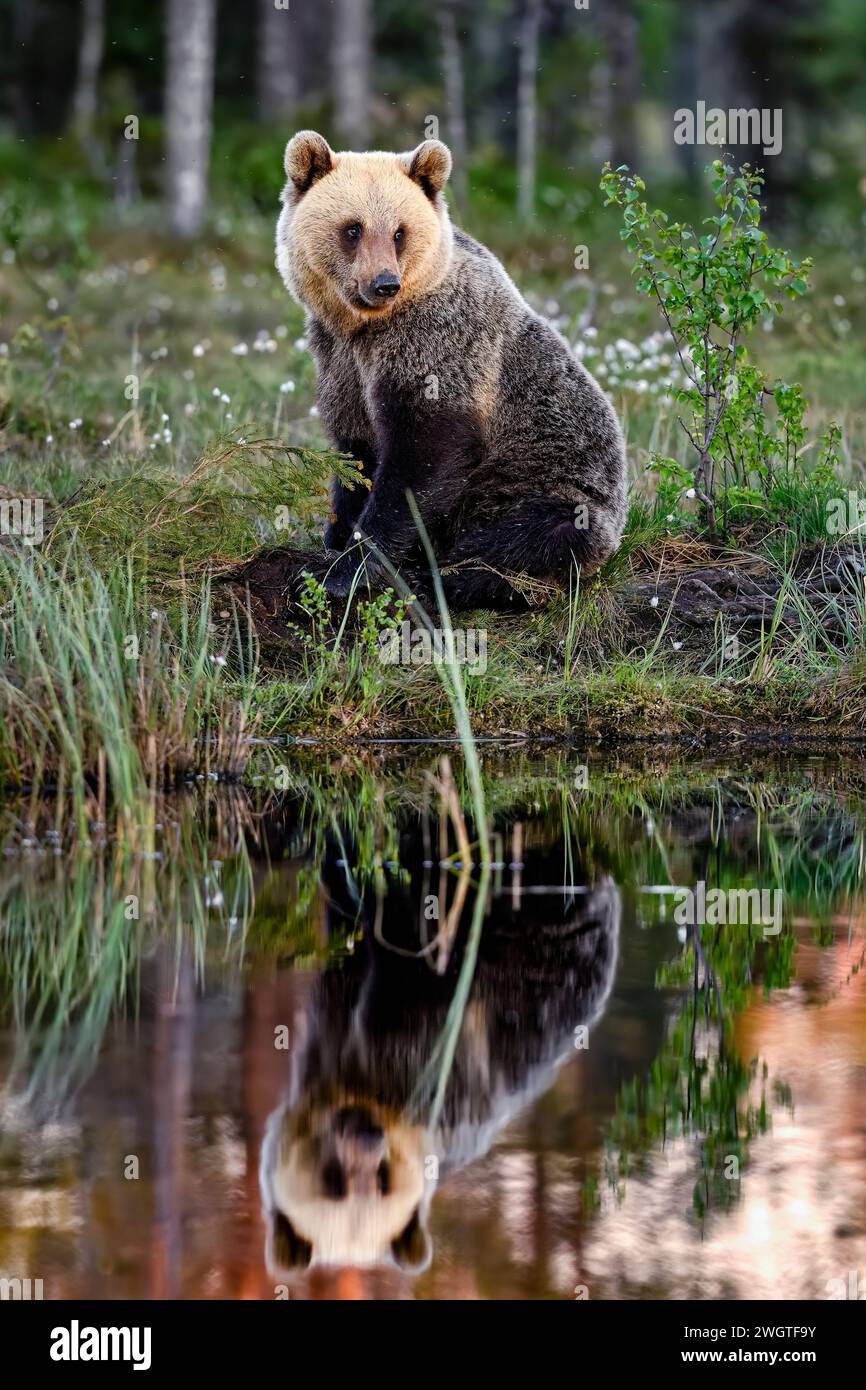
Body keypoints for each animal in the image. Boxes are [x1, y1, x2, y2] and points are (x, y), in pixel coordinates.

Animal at [259, 818, 620, 1278]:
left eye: (384, 1179)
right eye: (333, 1180)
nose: (365, 1133)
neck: (359, 1083)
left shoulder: (436, 1056)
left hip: (550, 935)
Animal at [275, 130, 628, 609]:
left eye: (399, 232)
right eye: (353, 228)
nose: (384, 283)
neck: (365, 326)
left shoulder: (439, 341)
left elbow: (425, 453)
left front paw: (344, 571)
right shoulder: (338, 360)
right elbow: (355, 454)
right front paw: (333, 541)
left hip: (551, 488)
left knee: (541, 535)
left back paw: (445, 577)